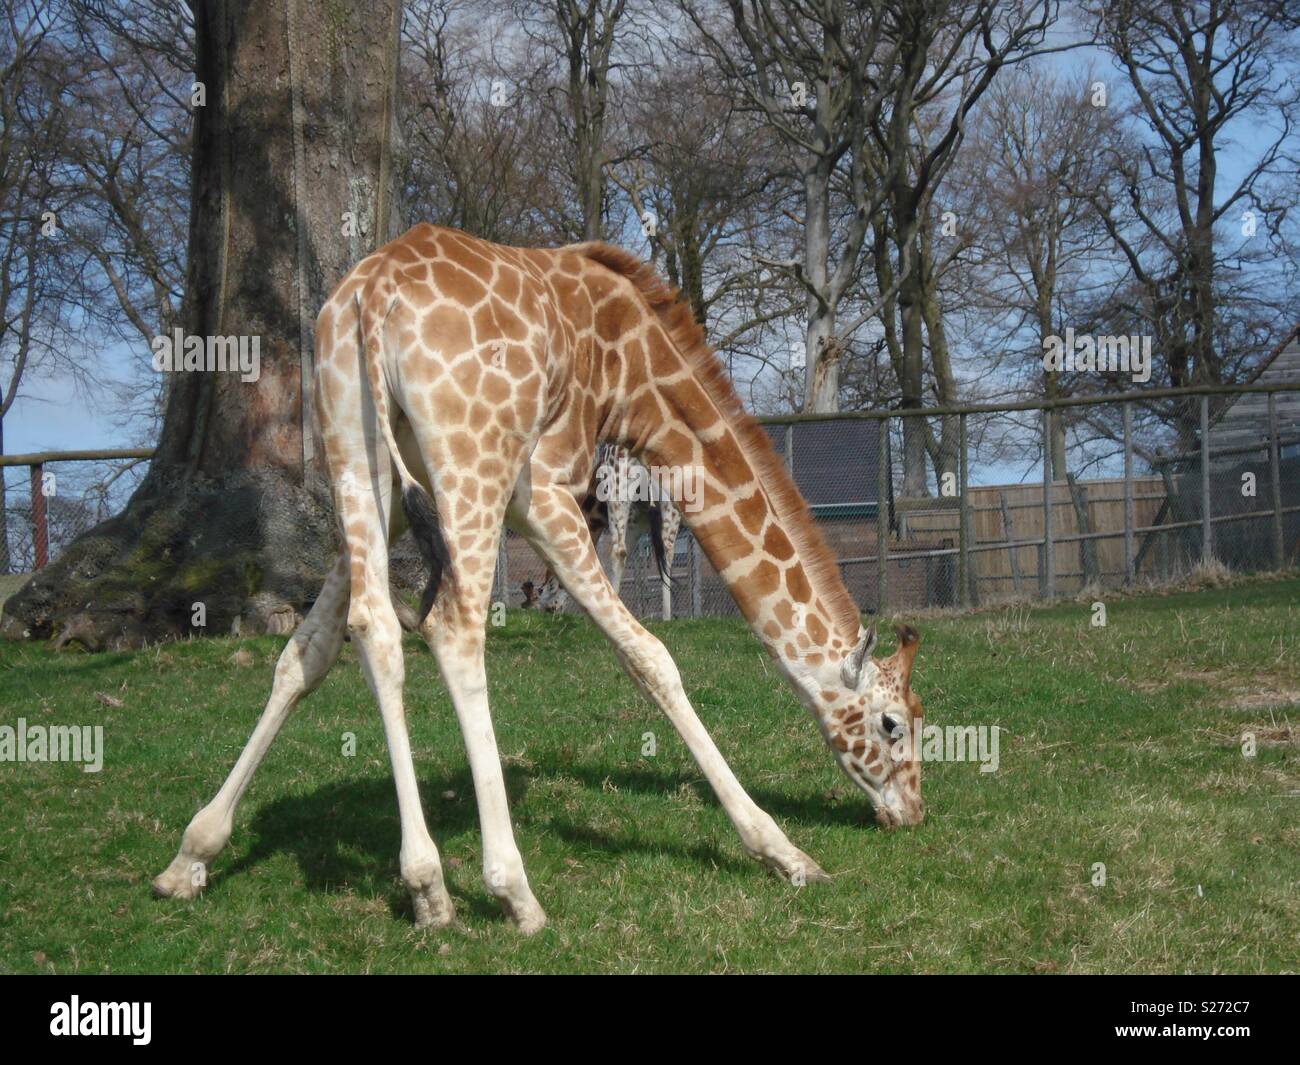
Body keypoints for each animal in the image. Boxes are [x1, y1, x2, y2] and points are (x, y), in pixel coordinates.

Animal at [152, 224, 925, 934]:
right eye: (893, 723)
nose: (914, 811)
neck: (635, 376)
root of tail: (373, 298)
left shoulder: (402, 501)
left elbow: (306, 655)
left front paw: (193, 854)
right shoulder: (547, 492)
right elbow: (651, 659)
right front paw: (784, 852)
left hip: (355, 455)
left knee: (376, 626)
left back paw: (425, 888)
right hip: (475, 465)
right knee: (453, 629)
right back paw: (504, 890)